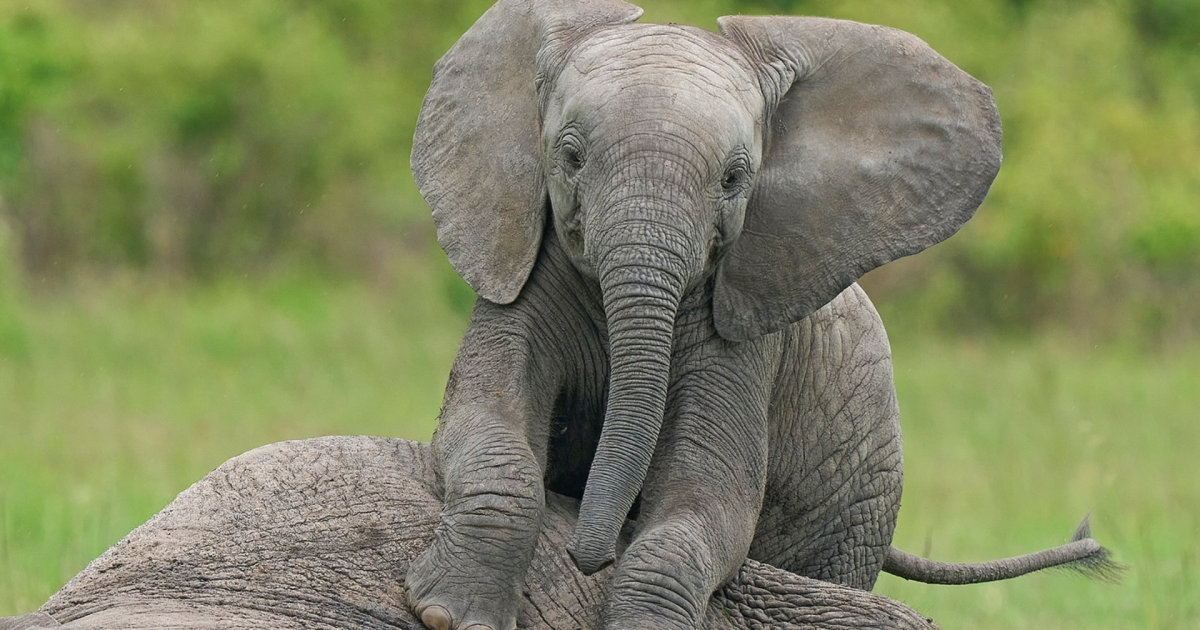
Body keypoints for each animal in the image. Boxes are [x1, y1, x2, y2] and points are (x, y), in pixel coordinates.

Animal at [407, 2, 1117, 630]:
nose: (589, 555)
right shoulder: (524, 264)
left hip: (857, 506)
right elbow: (485, 428)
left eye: (733, 178)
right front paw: (450, 616)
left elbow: (708, 499)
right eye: (572, 156)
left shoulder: (748, 334)